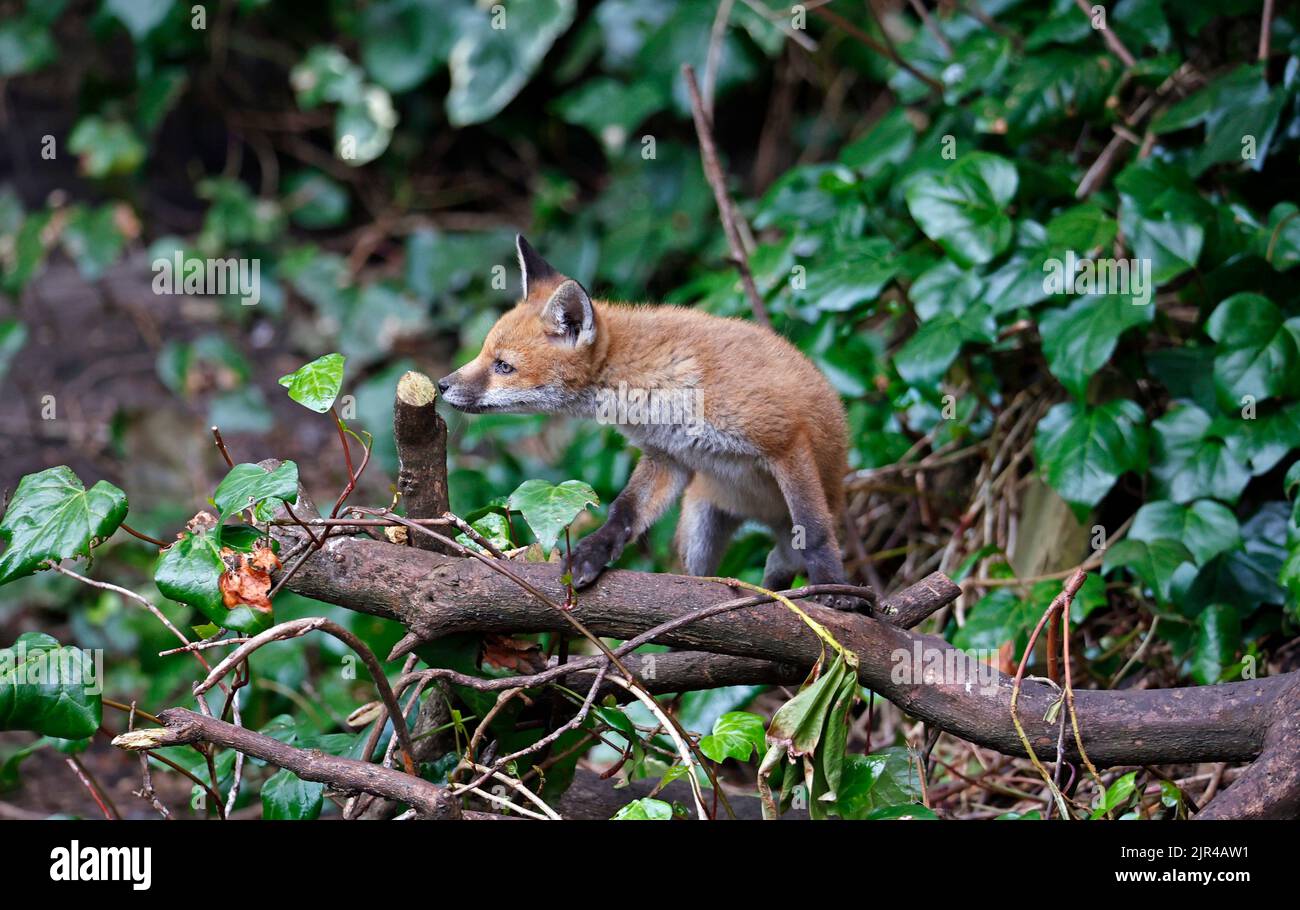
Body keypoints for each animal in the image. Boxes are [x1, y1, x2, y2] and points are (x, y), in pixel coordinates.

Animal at [437, 237, 873, 612]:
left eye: (503, 366)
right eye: (483, 353)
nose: (441, 385)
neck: (661, 391)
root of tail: (760, 518)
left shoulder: (785, 441)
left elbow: (814, 531)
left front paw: (836, 590)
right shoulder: (669, 457)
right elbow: (623, 512)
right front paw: (591, 554)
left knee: (788, 553)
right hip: (699, 531)